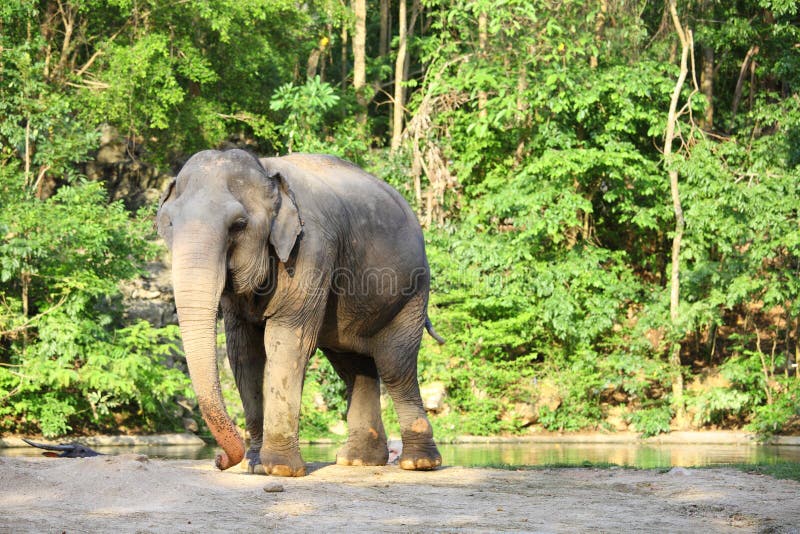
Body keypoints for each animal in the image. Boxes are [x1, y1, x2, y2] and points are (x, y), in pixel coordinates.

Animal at [156, 149, 443, 476]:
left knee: (395, 365)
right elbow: (243, 352)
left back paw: (418, 463)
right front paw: (254, 466)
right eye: (169, 224)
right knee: (354, 368)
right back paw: (358, 460)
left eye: (238, 224)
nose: (219, 460)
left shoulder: (310, 248)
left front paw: (279, 469)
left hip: (412, 291)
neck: (266, 170)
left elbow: (286, 343)